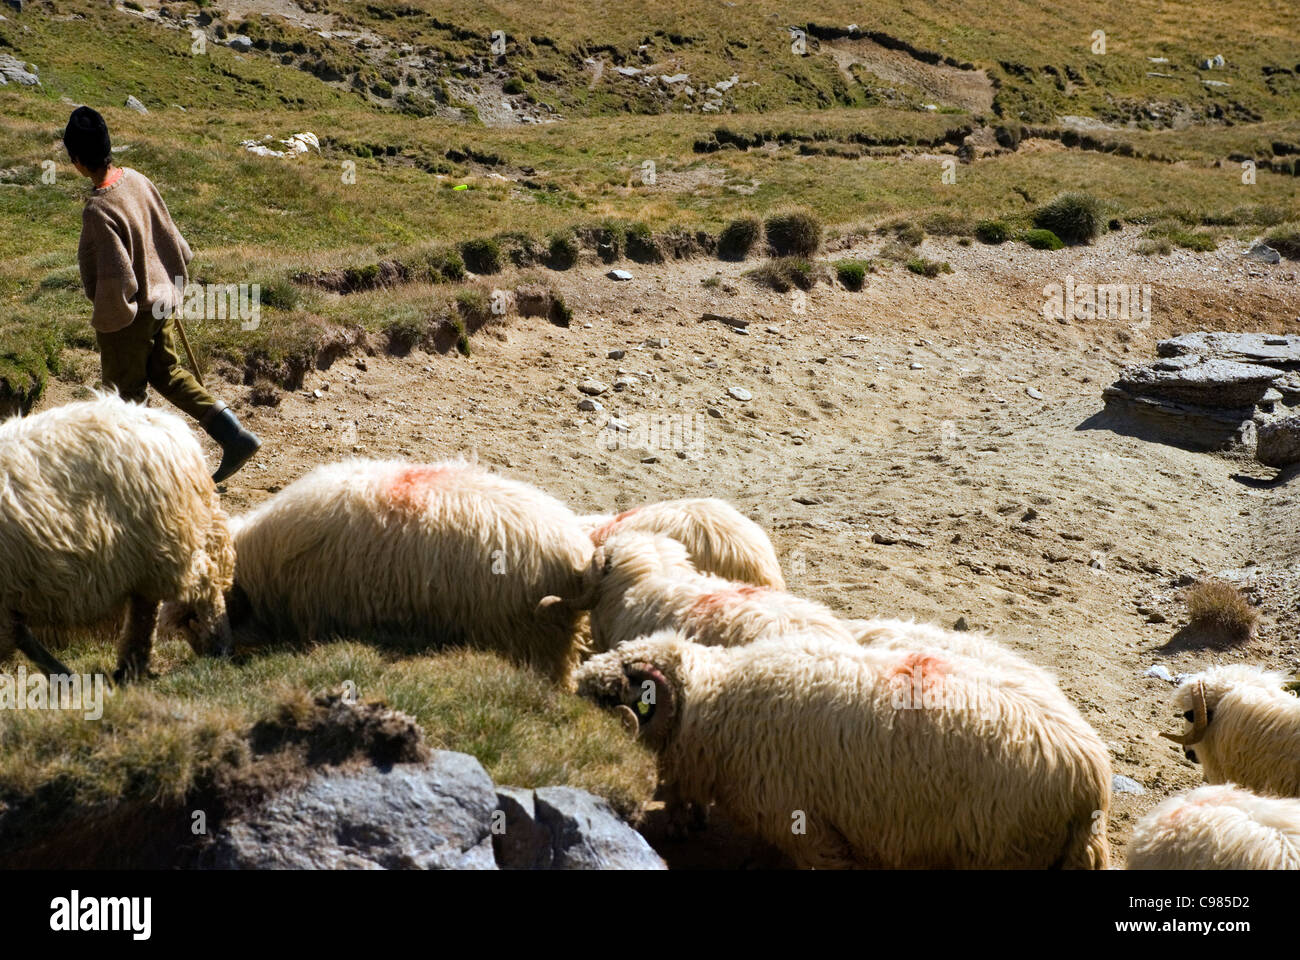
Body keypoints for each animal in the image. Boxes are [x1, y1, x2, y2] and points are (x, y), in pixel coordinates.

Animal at [0, 394, 235, 682]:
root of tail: (172, 429)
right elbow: (22, 636)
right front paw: (61, 675)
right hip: (149, 554)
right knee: (145, 608)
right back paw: (131, 664)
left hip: (167, 542)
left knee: (203, 583)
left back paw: (217, 644)